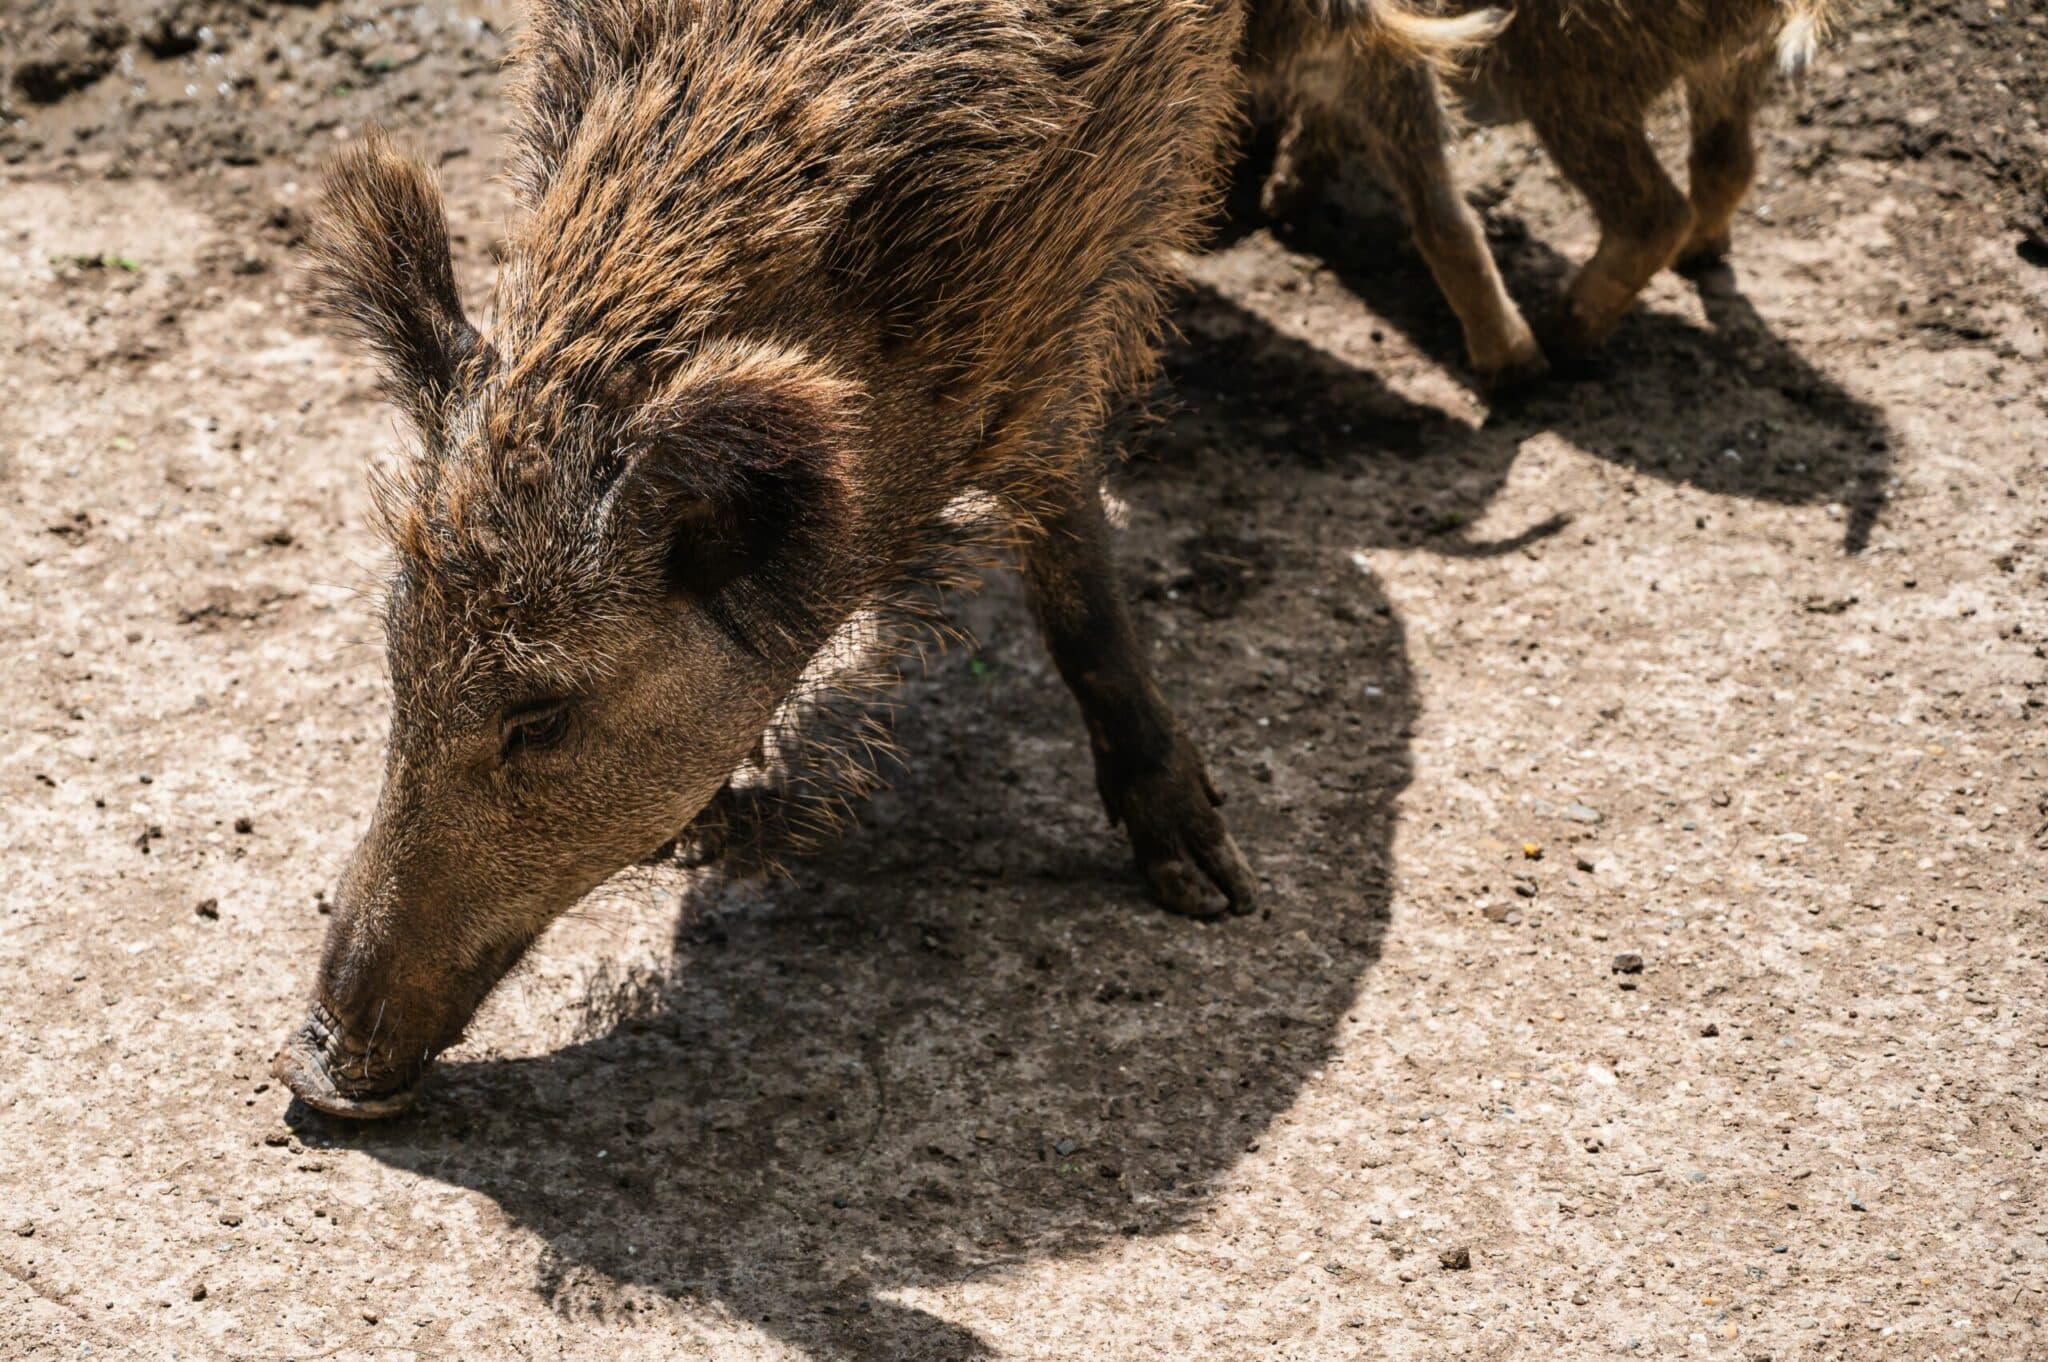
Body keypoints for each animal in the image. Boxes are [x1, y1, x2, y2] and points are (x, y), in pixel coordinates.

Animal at [274, 0, 1485, 1118]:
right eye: (396, 666)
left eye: (540, 717)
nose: (310, 1074)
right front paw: (702, 833)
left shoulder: (1058, 313)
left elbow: (1078, 577)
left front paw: (1210, 895)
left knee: (1390, 61)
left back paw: (1497, 363)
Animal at [1246, 0, 1842, 387]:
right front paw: (1283, 201)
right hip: (1729, 60)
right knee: (1729, 161)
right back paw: (1699, 256)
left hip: (1571, 78)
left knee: (1655, 213)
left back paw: (1551, 346)